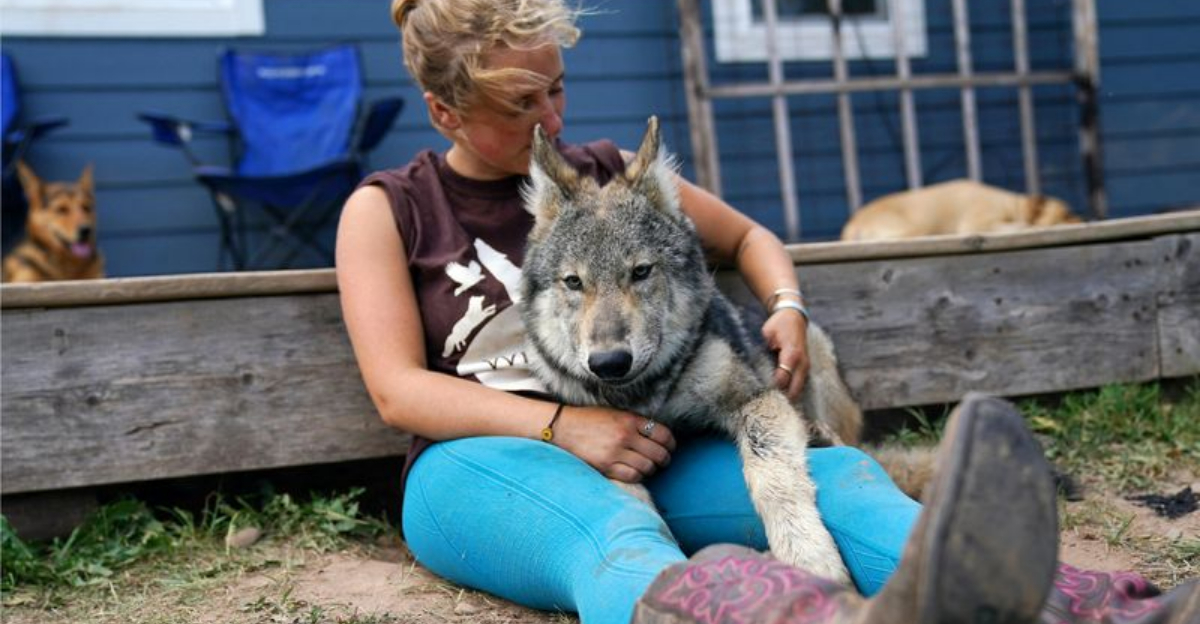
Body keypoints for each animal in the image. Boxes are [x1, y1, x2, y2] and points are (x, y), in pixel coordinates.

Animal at [518, 116, 861, 584]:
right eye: (574, 282)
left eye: (641, 272)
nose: (609, 363)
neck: (646, 398)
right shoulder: (606, 449)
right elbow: (630, 508)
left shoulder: (756, 398)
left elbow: (771, 477)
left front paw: (810, 558)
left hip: (814, 356)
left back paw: (822, 434)